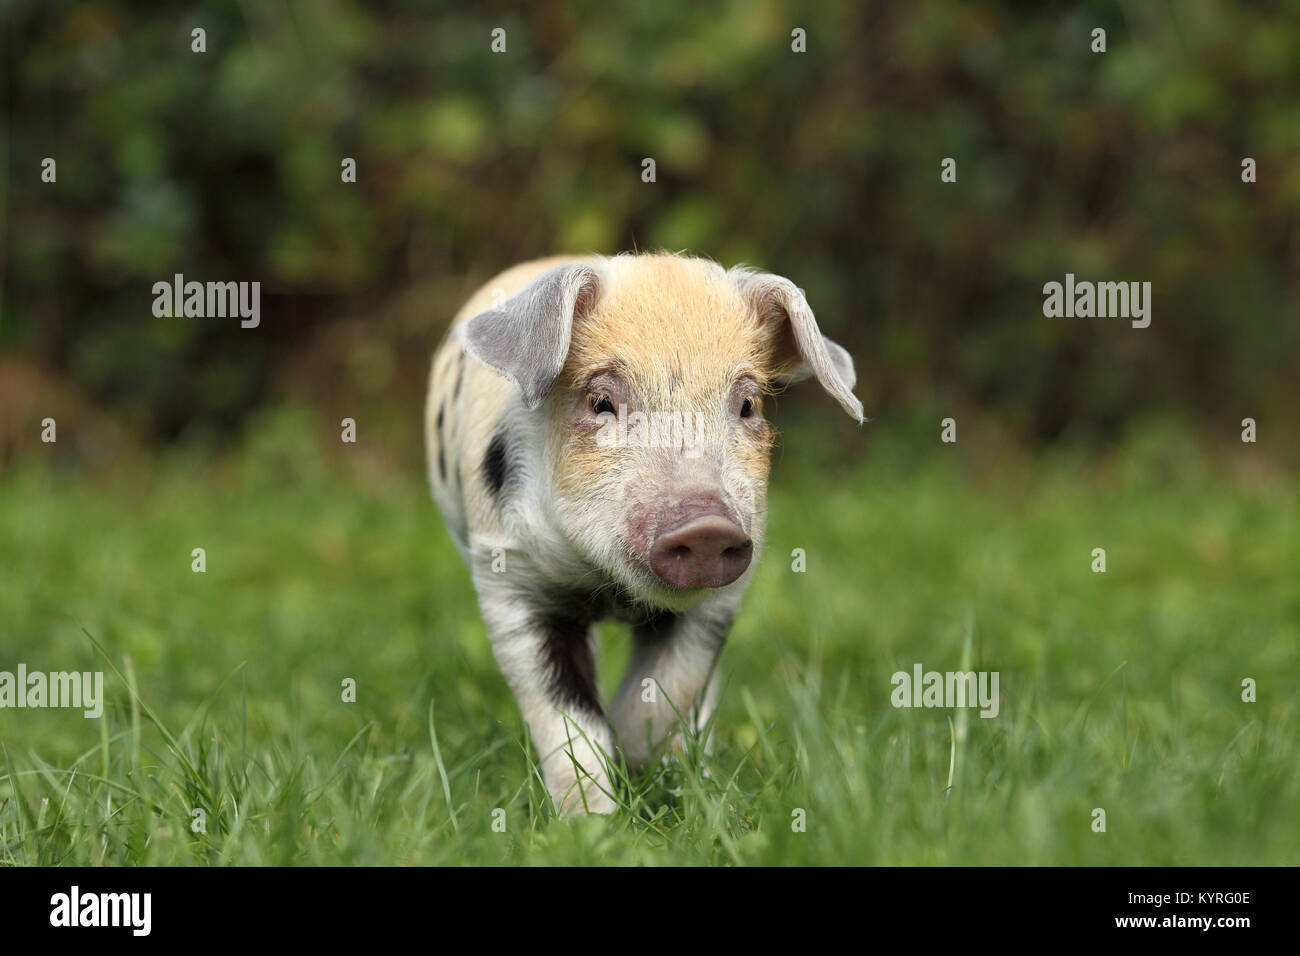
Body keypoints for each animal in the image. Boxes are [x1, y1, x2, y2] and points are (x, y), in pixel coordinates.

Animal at [424, 252, 862, 816]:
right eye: (600, 400)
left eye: (748, 405)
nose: (706, 523)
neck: (606, 589)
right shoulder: (509, 576)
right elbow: (564, 715)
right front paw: (593, 820)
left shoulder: (722, 596)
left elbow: (666, 690)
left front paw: (647, 768)